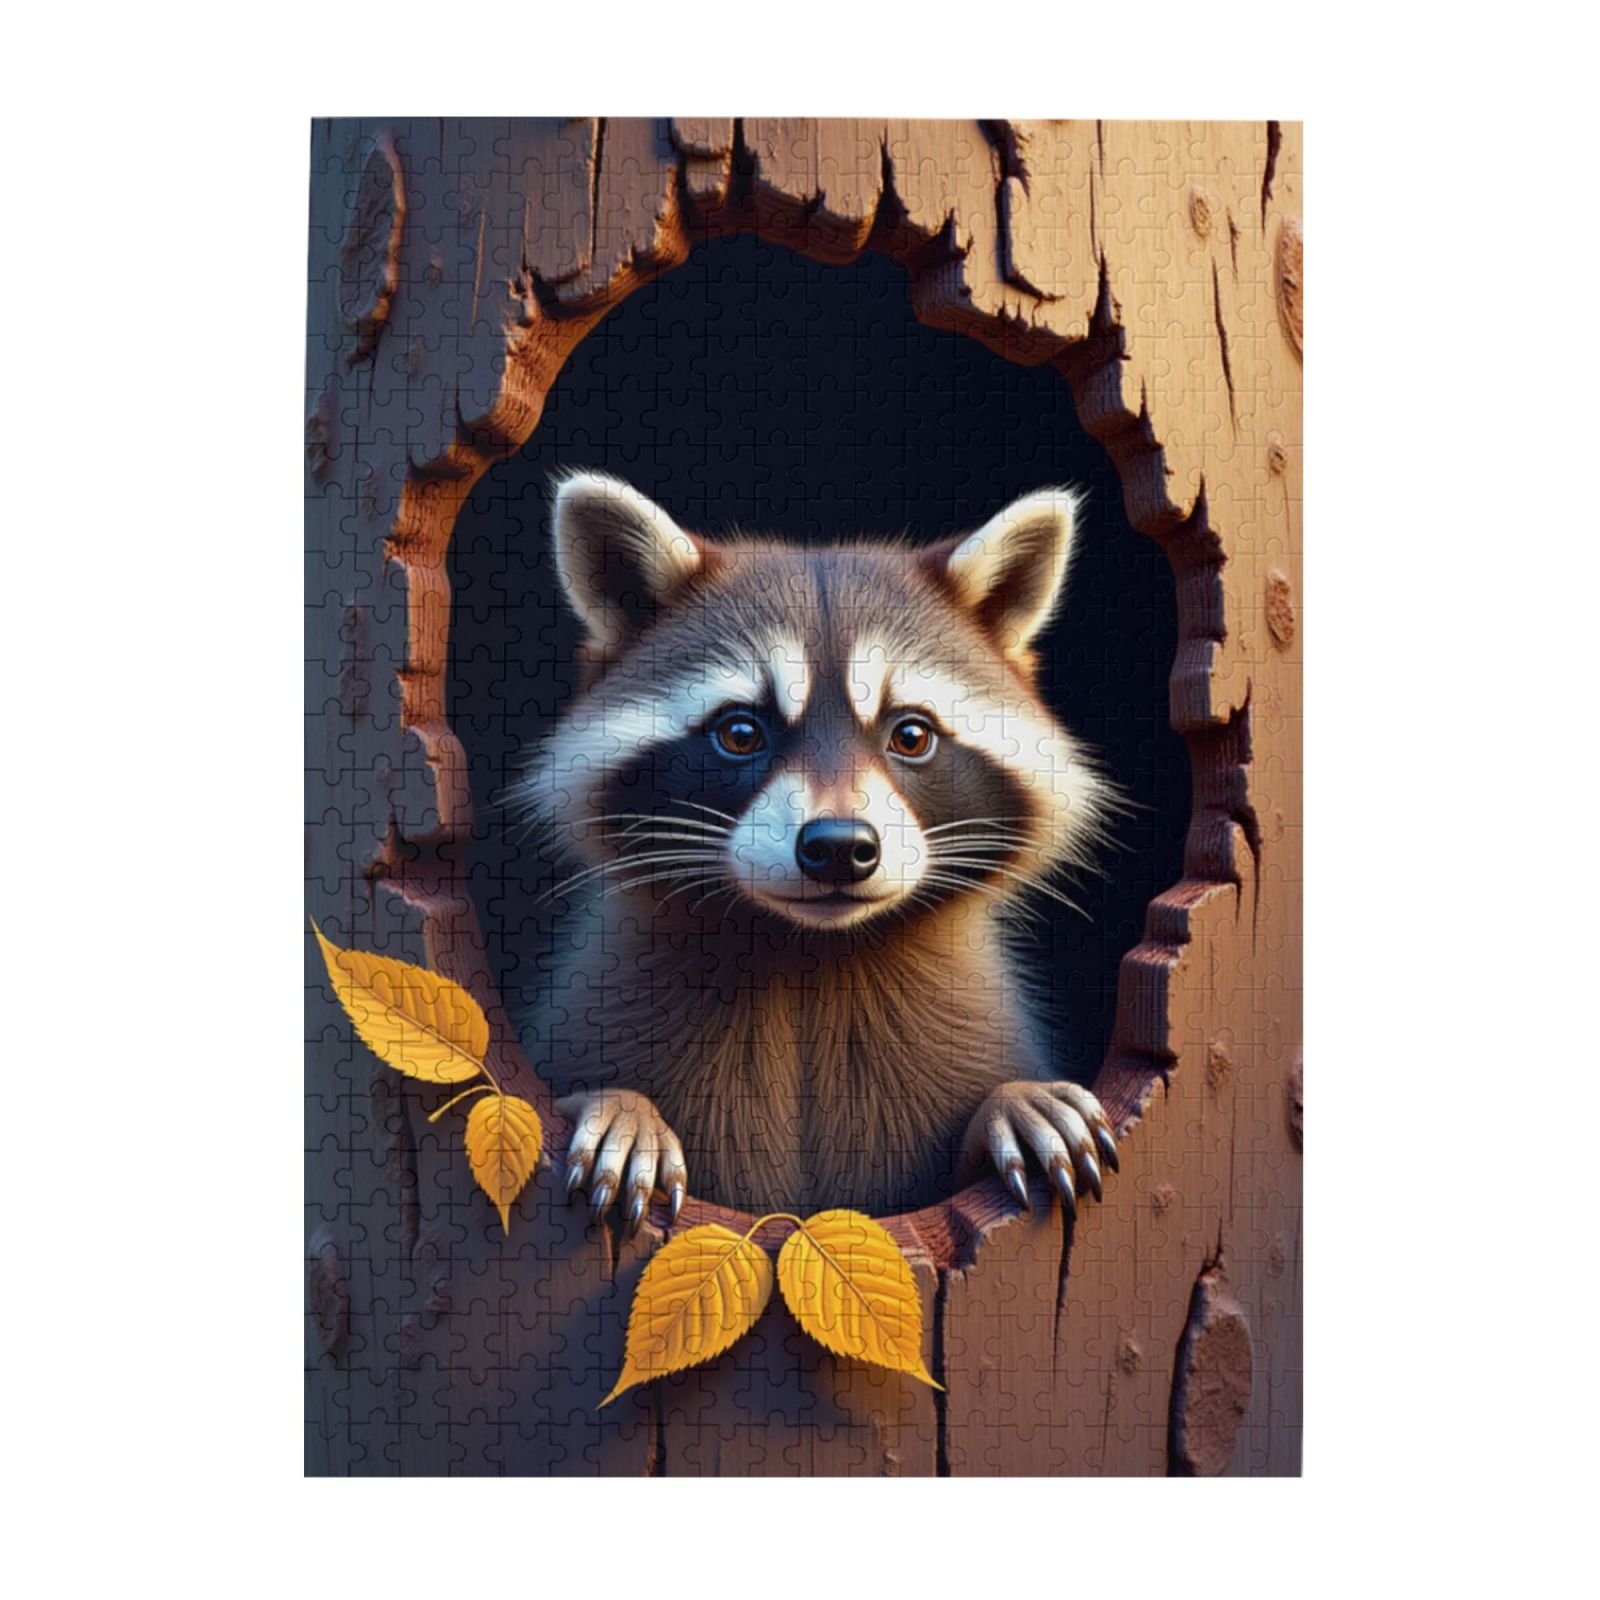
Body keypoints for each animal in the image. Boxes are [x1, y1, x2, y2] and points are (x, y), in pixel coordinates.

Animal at [512, 472, 1122, 1228]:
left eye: (911, 735)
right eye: (740, 732)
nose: (838, 847)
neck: (809, 956)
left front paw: (1011, 1100)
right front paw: (618, 1103)